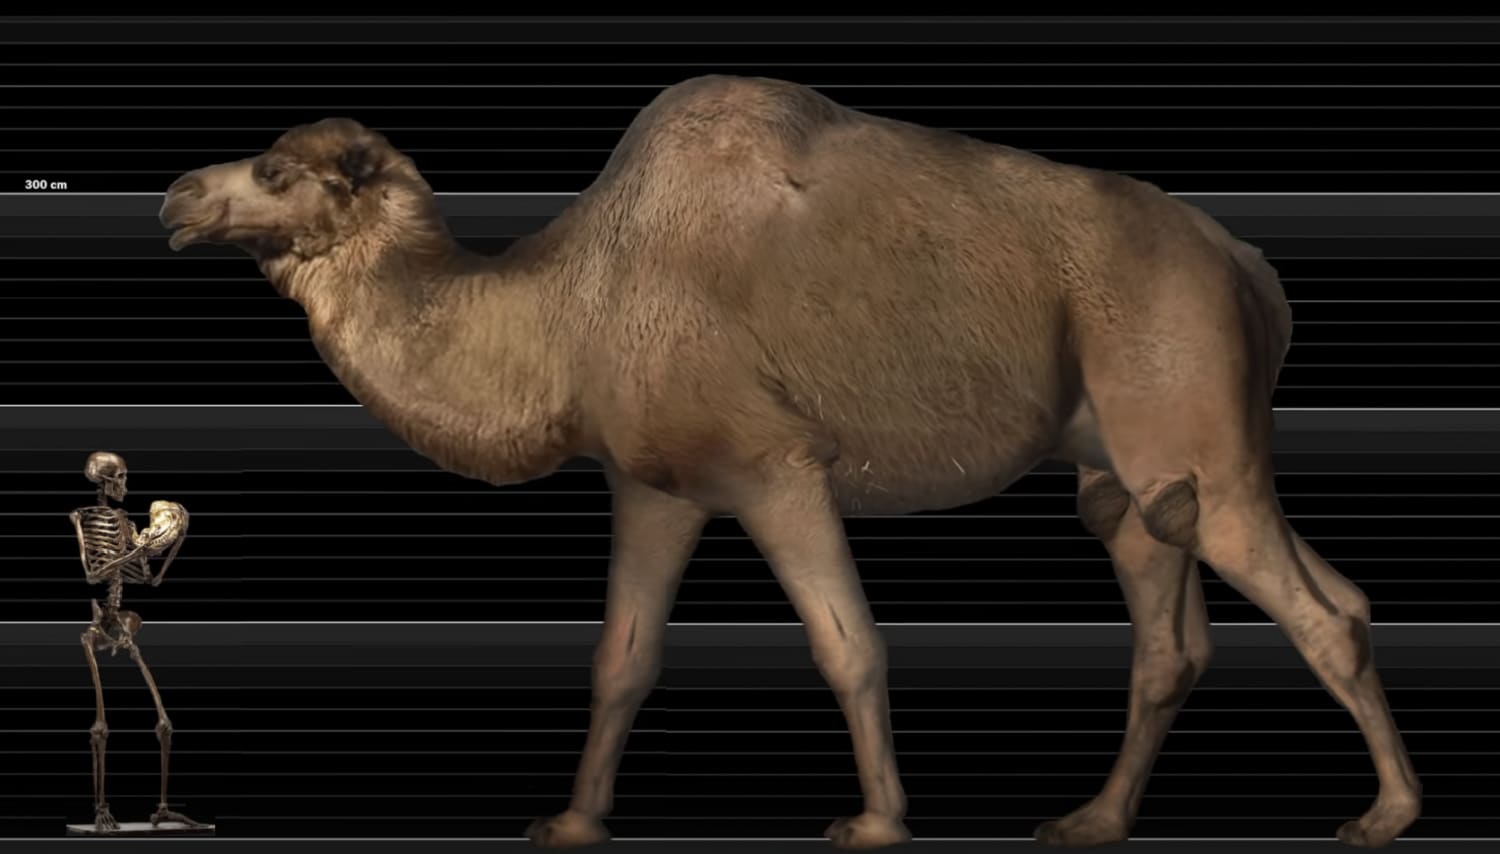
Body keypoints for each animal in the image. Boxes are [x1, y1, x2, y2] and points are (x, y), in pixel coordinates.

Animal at [158, 74, 1421, 849]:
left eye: (276, 174)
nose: (174, 195)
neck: (566, 303)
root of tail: (1246, 265)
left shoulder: (776, 463)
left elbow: (847, 645)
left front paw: (876, 821)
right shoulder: (655, 481)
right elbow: (621, 658)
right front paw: (573, 820)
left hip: (1178, 389)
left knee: (1314, 607)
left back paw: (1389, 813)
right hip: (1129, 458)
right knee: (1188, 608)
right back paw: (1093, 819)